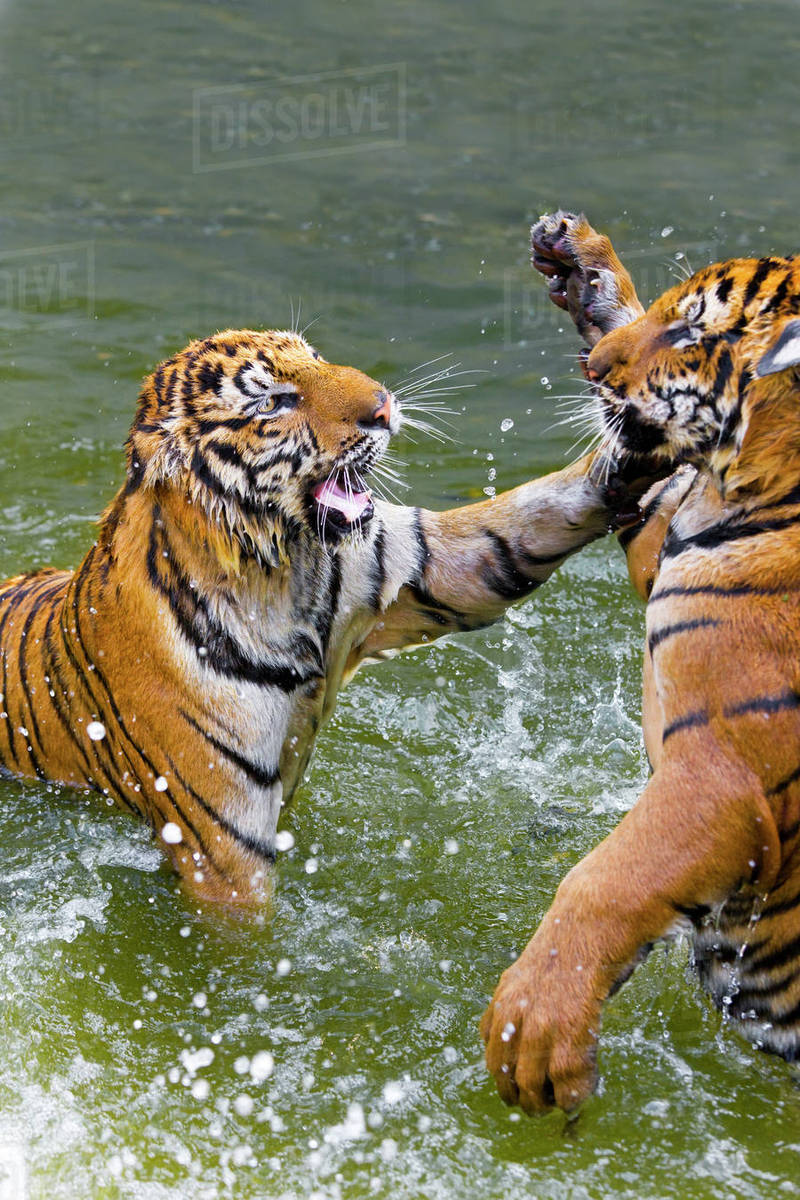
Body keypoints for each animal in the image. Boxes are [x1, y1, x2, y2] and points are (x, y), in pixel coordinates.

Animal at [0, 326, 649, 905]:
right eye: (273, 401)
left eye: (314, 358)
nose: (384, 405)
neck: (281, 570)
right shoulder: (223, 842)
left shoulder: (422, 563)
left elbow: (530, 516)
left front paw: (632, 452)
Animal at [481, 209, 800, 1113]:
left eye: (691, 329)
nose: (594, 368)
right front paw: (583, 270)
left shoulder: (718, 774)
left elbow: (607, 879)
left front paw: (533, 1028)